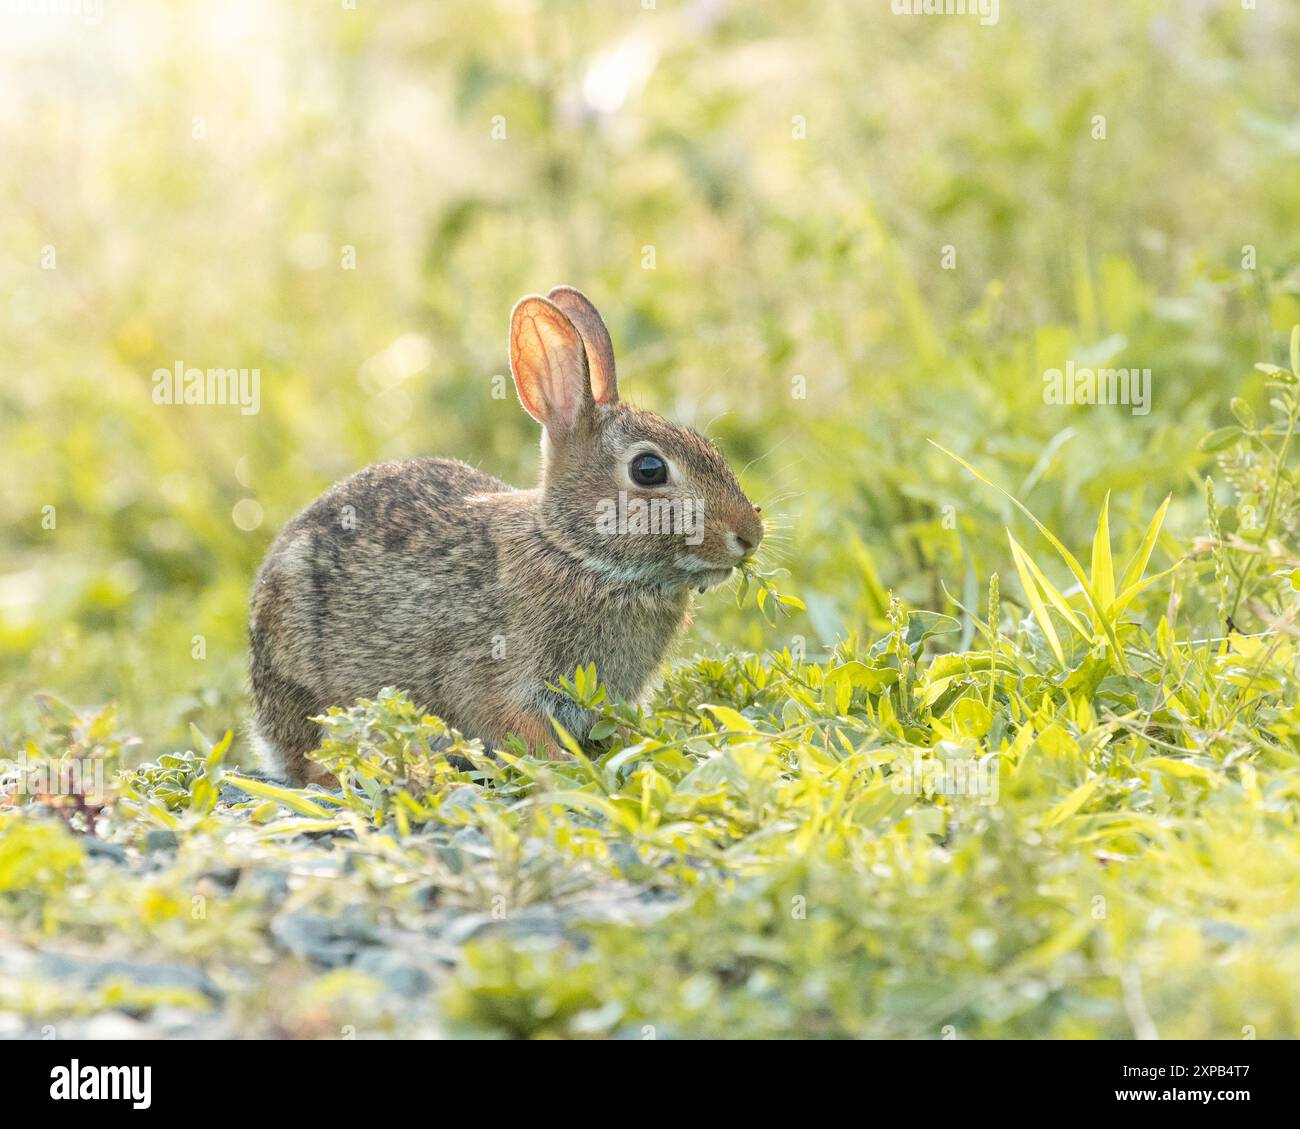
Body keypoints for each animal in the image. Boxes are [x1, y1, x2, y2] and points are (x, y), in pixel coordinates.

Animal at [248, 287, 764, 786]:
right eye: (649, 469)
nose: (750, 535)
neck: (574, 553)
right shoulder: (494, 678)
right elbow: (518, 729)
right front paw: (567, 766)